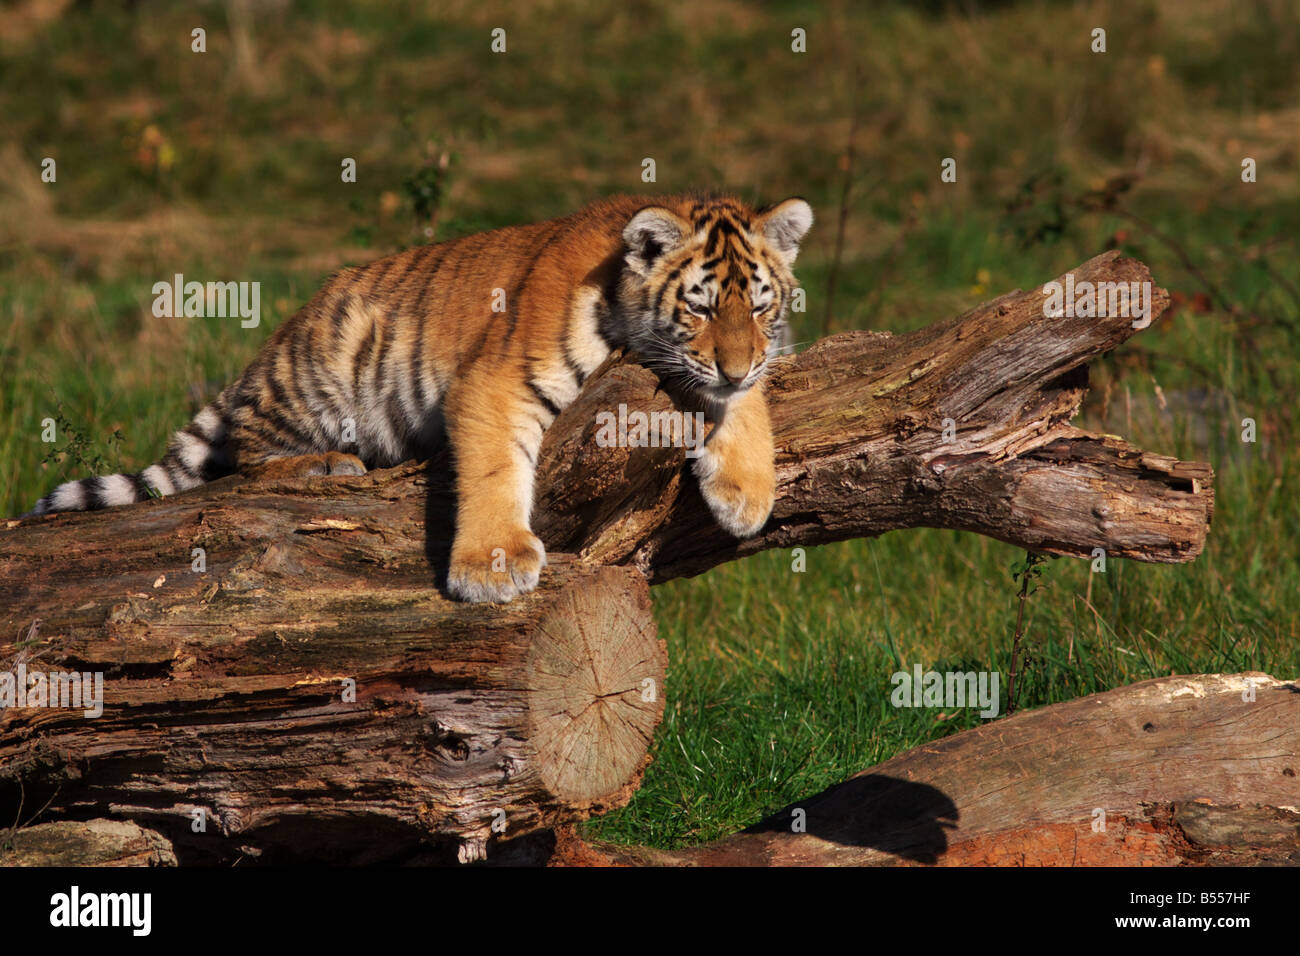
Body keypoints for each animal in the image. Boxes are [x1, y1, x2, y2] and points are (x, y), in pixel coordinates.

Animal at [24, 193, 813, 603]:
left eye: (760, 307)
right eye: (701, 309)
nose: (736, 366)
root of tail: (281, 338)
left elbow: (748, 402)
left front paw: (746, 491)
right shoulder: (497, 380)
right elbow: (496, 468)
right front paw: (492, 566)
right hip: (323, 373)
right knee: (247, 448)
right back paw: (325, 466)